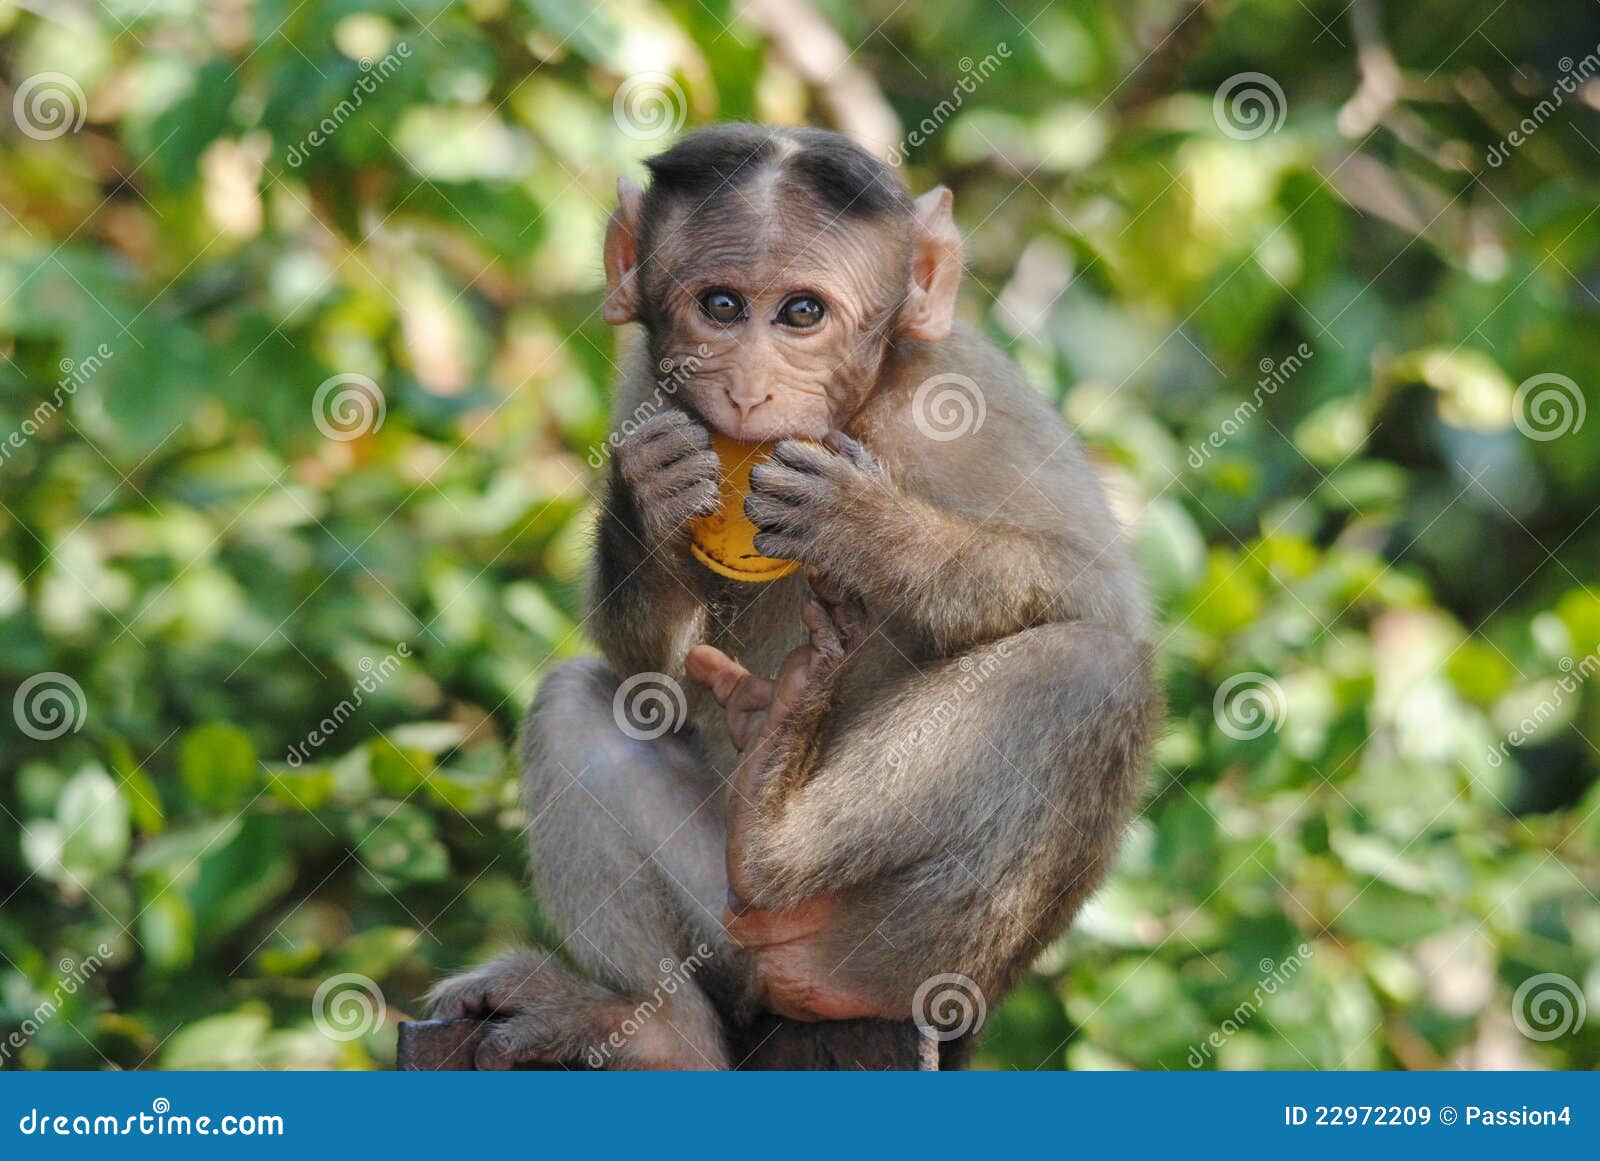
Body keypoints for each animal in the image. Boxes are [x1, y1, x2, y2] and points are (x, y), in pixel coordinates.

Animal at [428, 123, 1158, 1069]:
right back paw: (662, 1032)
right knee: (578, 701)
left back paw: (774, 829)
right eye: (722, 306)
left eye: (802, 314)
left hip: (911, 948)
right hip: (730, 934)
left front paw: (864, 526)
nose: (747, 388)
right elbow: (650, 671)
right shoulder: (648, 389)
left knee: (1093, 669)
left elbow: (1096, 592)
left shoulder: (966, 397)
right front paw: (647, 500)